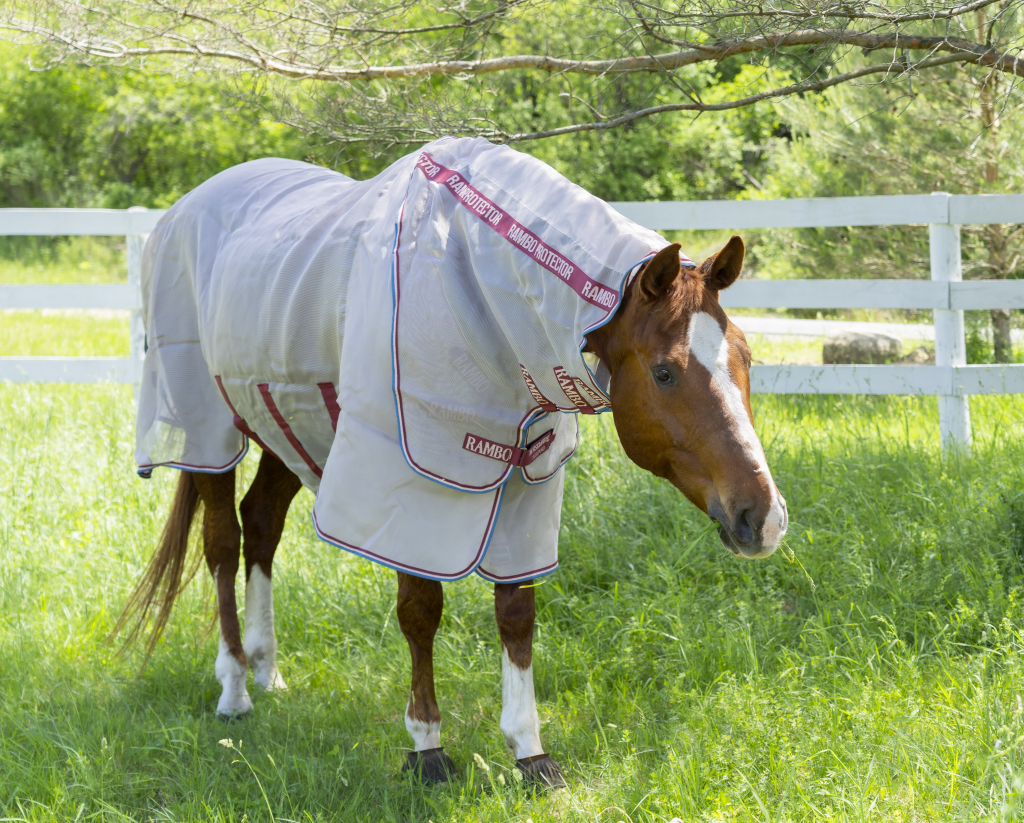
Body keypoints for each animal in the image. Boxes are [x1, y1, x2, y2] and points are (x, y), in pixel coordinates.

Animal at [119, 139, 787, 788]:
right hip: (207, 430)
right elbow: (420, 612)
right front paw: (427, 748)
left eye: (746, 356)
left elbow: (516, 614)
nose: (764, 517)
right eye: (665, 372)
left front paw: (529, 752)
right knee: (222, 542)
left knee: (260, 525)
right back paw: (234, 688)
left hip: (286, 420)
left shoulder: (529, 481)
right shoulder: (409, 485)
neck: (489, 297)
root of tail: (187, 206)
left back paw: (268, 671)